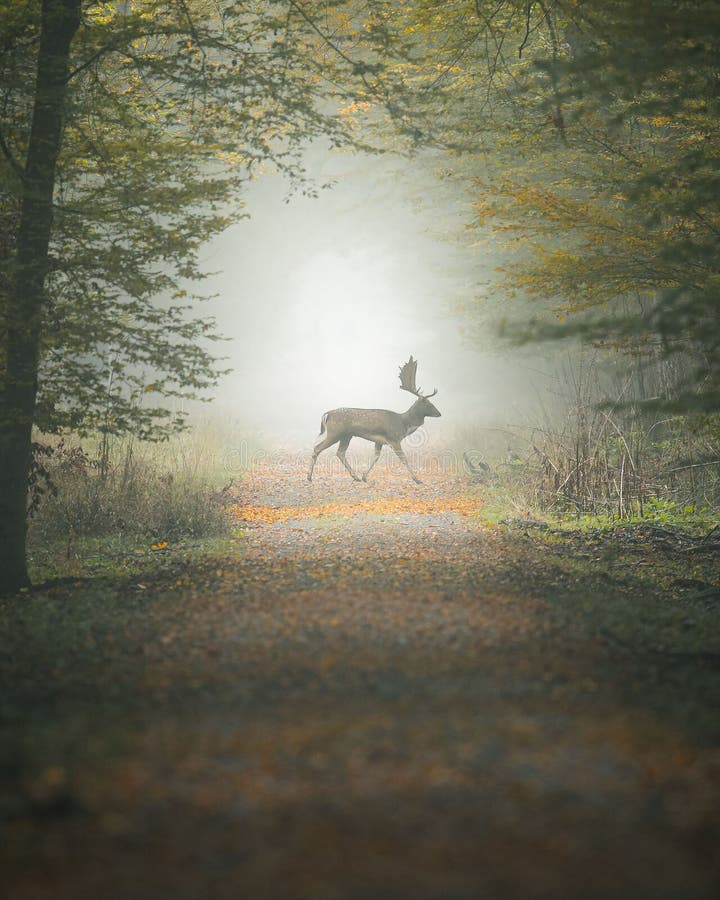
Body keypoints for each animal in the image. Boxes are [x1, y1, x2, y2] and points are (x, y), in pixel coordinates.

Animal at [307, 356, 441, 484]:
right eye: (428, 404)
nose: (439, 413)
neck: (403, 424)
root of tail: (327, 414)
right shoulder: (394, 439)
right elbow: (404, 459)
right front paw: (417, 479)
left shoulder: (379, 441)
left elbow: (376, 457)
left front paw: (364, 476)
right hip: (335, 432)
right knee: (317, 448)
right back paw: (309, 477)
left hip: (346, 435)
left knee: (340, 453)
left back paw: (355, 477)